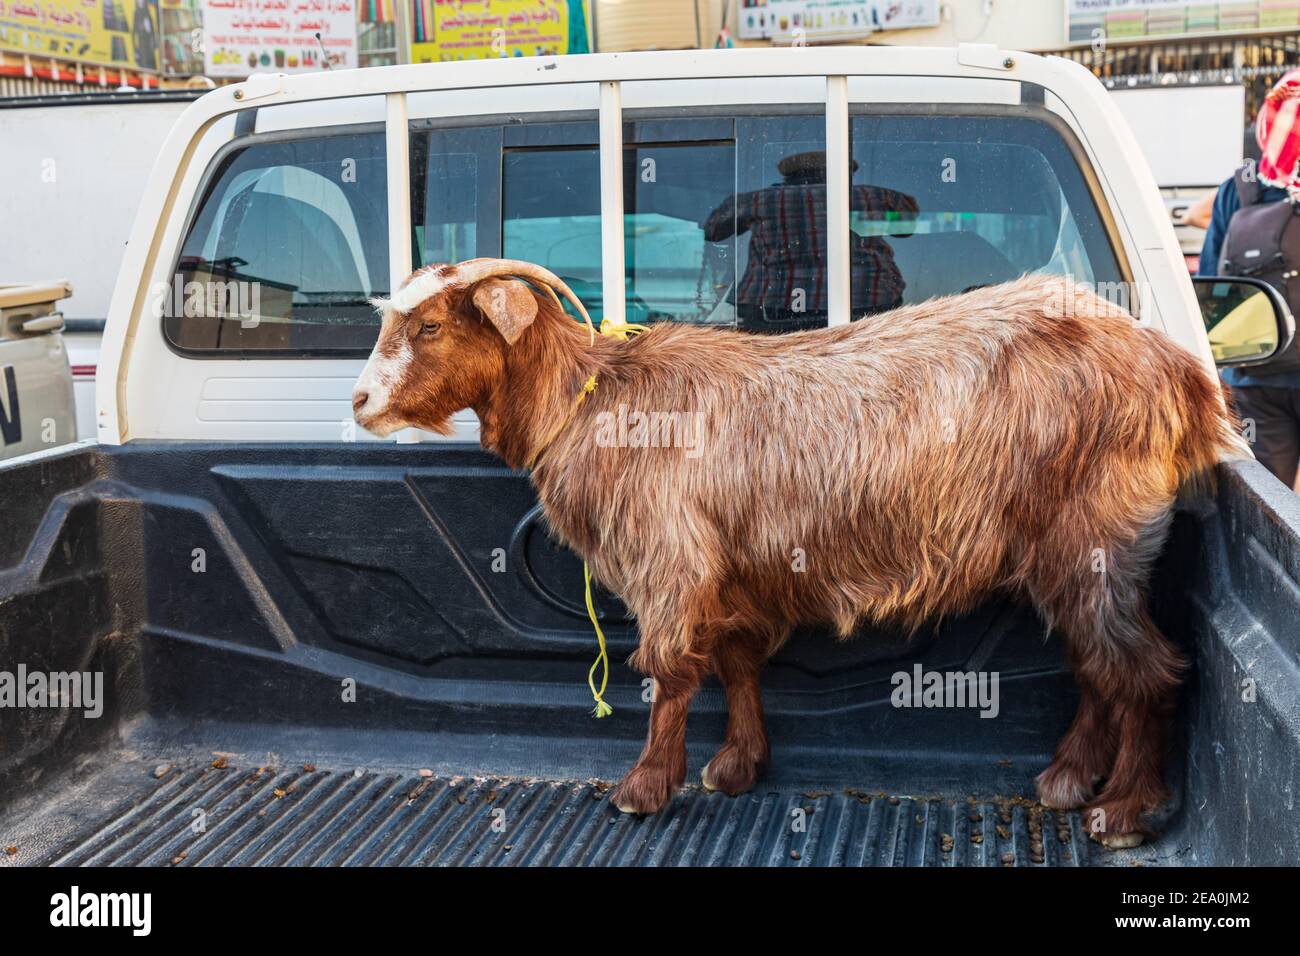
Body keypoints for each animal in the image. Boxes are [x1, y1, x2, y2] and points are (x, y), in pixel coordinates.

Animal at [353, 257, 1245, 847]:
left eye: (429, 325)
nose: (360, 401)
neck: (595, 399)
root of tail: (1179, 373)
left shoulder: (671, 561)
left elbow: (670, 670)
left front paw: (645, 787)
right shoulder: (732, 574)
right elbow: (738, 662)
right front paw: (737, 765)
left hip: (1098, 536)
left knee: (1145, 669)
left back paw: (1123, 810)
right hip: (1074, 555)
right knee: (1098, 664)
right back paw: (1066, 780)